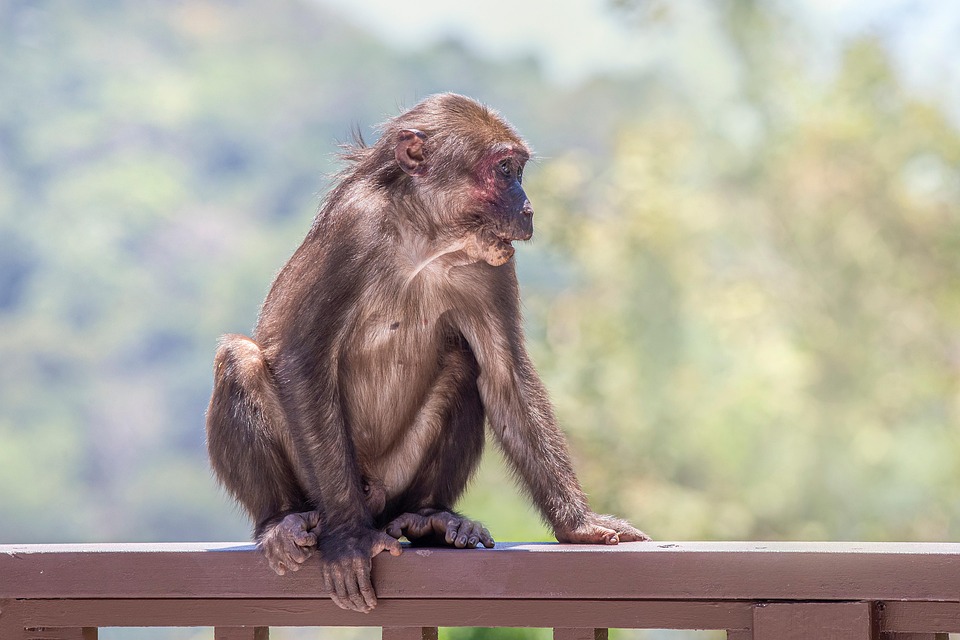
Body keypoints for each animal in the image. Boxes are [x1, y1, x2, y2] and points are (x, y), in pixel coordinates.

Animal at [205, 93, 649, 613]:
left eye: (518, 170)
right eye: (504, 170)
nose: (527, 208)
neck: (423, 240)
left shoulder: (490, 266)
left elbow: (505, 374)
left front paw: (580, 524)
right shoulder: (354, 229)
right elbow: (301, 359)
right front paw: (349, 539)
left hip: (397, 480)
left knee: (462, 364)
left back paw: (429, 517)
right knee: (239, 359)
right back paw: (281, 520)